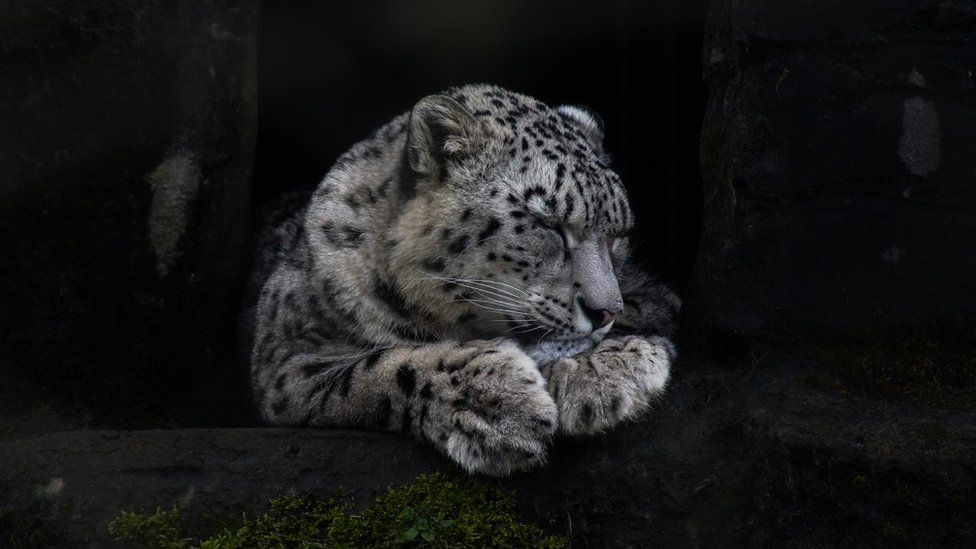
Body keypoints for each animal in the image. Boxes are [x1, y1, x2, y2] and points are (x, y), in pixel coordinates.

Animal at [241, 84, 680, 476]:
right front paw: (497, 404)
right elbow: (381, 367)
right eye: (547, 225)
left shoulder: (651, 295)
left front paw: (608, 372)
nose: (605, 311)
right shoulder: (288, 360)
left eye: (618, 235)